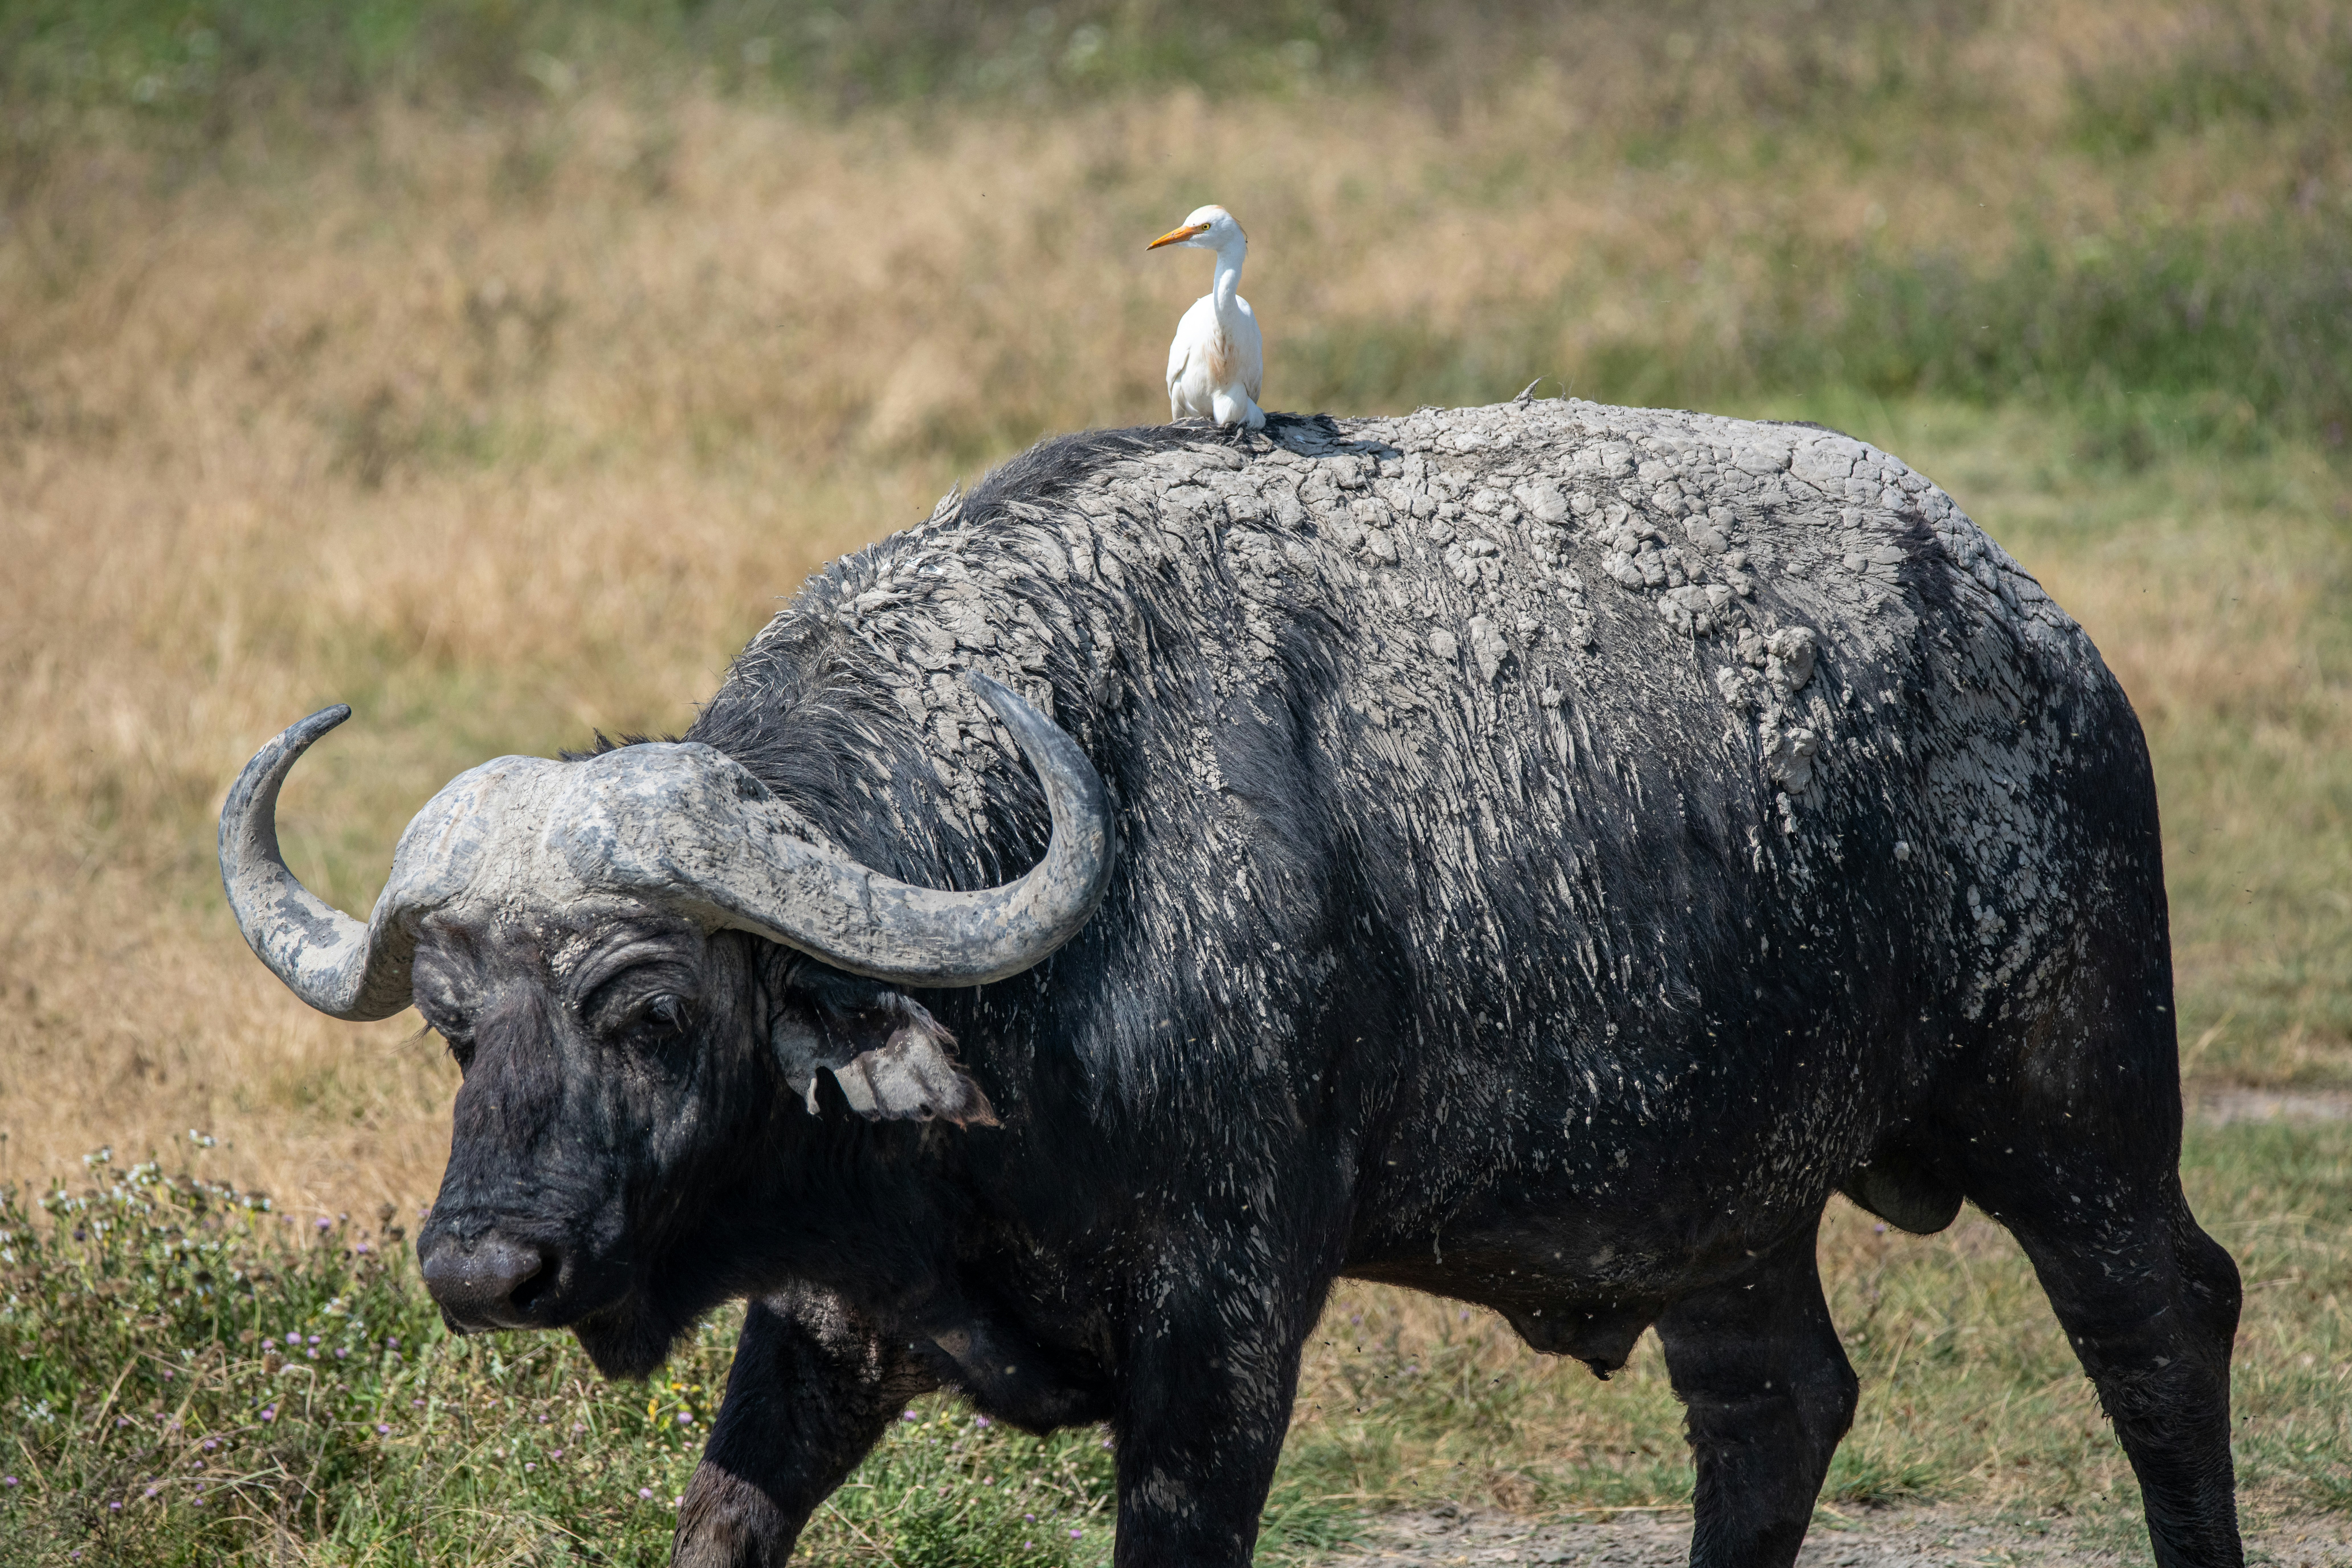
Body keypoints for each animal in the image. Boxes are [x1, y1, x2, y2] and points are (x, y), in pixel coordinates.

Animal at [222, 400, 2242, 1568]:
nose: (483, 1262)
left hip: (2071, 1098)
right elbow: (720, 1517)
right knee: (1772, 1407)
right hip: (1718, 1192)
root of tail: (2029, 625)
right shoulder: (829, 1316)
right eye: (458, 1025)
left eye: (648, 1006)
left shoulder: (1229, 1321)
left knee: (2160, 1319)